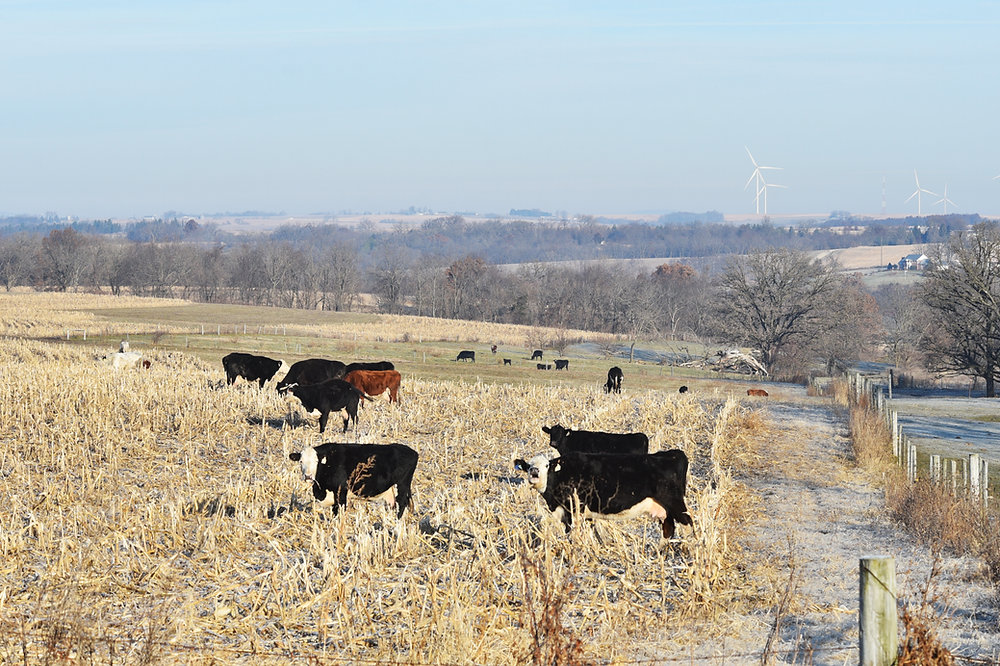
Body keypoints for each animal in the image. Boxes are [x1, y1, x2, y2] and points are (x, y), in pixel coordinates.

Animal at [290, 442, 418, 517]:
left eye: (316, 461)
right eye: (301, 461)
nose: (308, 476)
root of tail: (413, 452)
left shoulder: (341, 490)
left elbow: (340, 511)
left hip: (401, 486)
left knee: (401, 505)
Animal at [513, 450, 692, 538]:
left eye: (546, 466)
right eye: (528, 466)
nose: (534, 472)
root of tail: (673, 453)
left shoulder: (574, 509)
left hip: (676, 503)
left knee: (688, 524)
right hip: (664, 509)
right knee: (668, 528)